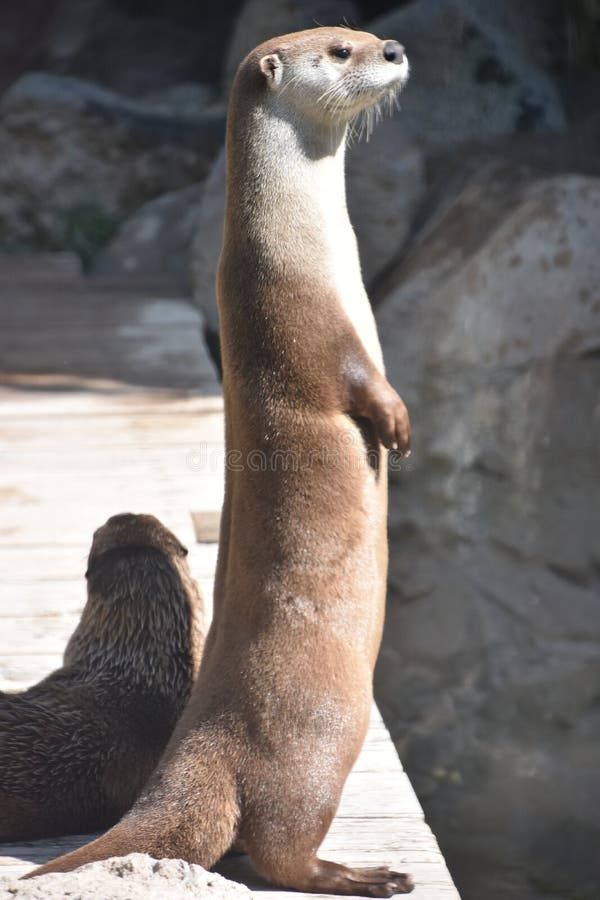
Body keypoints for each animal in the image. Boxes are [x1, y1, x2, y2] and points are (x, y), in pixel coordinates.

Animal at [27, 28, 413, 895]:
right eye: (341, 50)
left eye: (360, 33)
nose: (394, 48)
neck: (305, 249)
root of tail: (198, 752)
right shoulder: (303, 319)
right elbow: (360, 386)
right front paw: (401, 427)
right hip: (315, 746)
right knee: (277, 846)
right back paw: (361, 874)